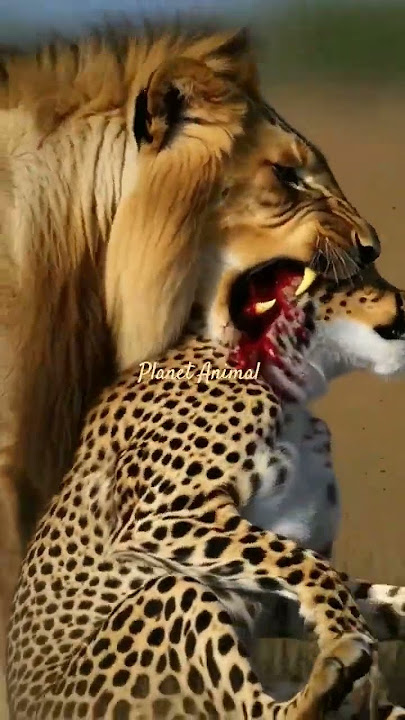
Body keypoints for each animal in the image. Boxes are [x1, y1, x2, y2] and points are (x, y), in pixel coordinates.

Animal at [7, 266, 405, 719]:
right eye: (355, 275)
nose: (404, 300)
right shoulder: (162, 517)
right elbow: (309, 564)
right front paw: (347, 633)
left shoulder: (274, 602)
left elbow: (356, 590)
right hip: (171, 593)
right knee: (262, 711)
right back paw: (335, 673)